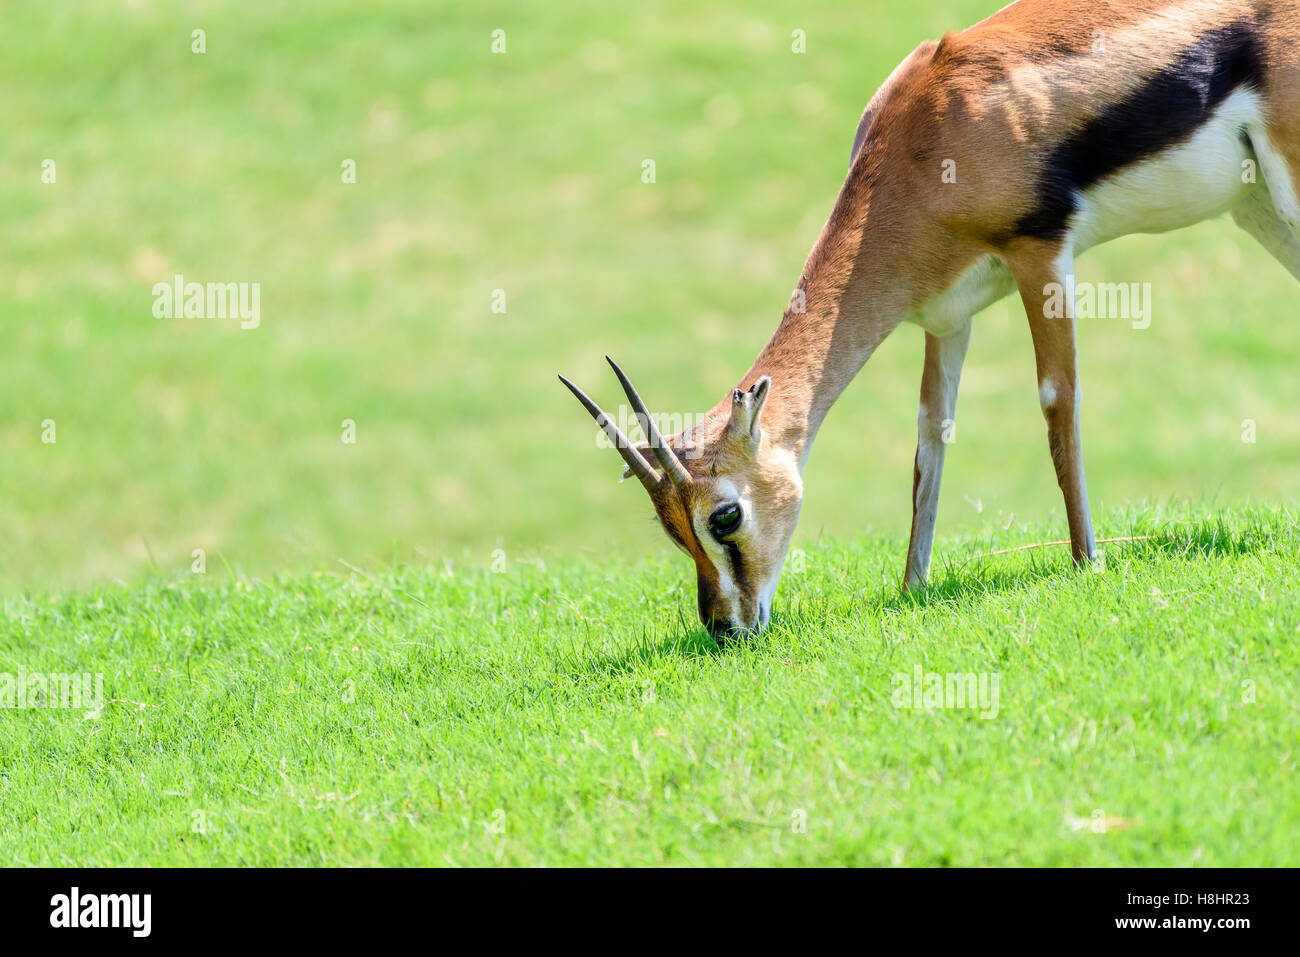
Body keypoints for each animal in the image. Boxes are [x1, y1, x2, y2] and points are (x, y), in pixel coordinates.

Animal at [561, 0, 1300, 639]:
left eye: (725, 515)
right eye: (669, 528)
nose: (724, 627)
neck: (927, 134)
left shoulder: (1041, 254)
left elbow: (1058, 403)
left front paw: (1087, 559)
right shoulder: (945, 318)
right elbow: (928, 438)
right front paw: (912, 585)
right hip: (1258, 209)